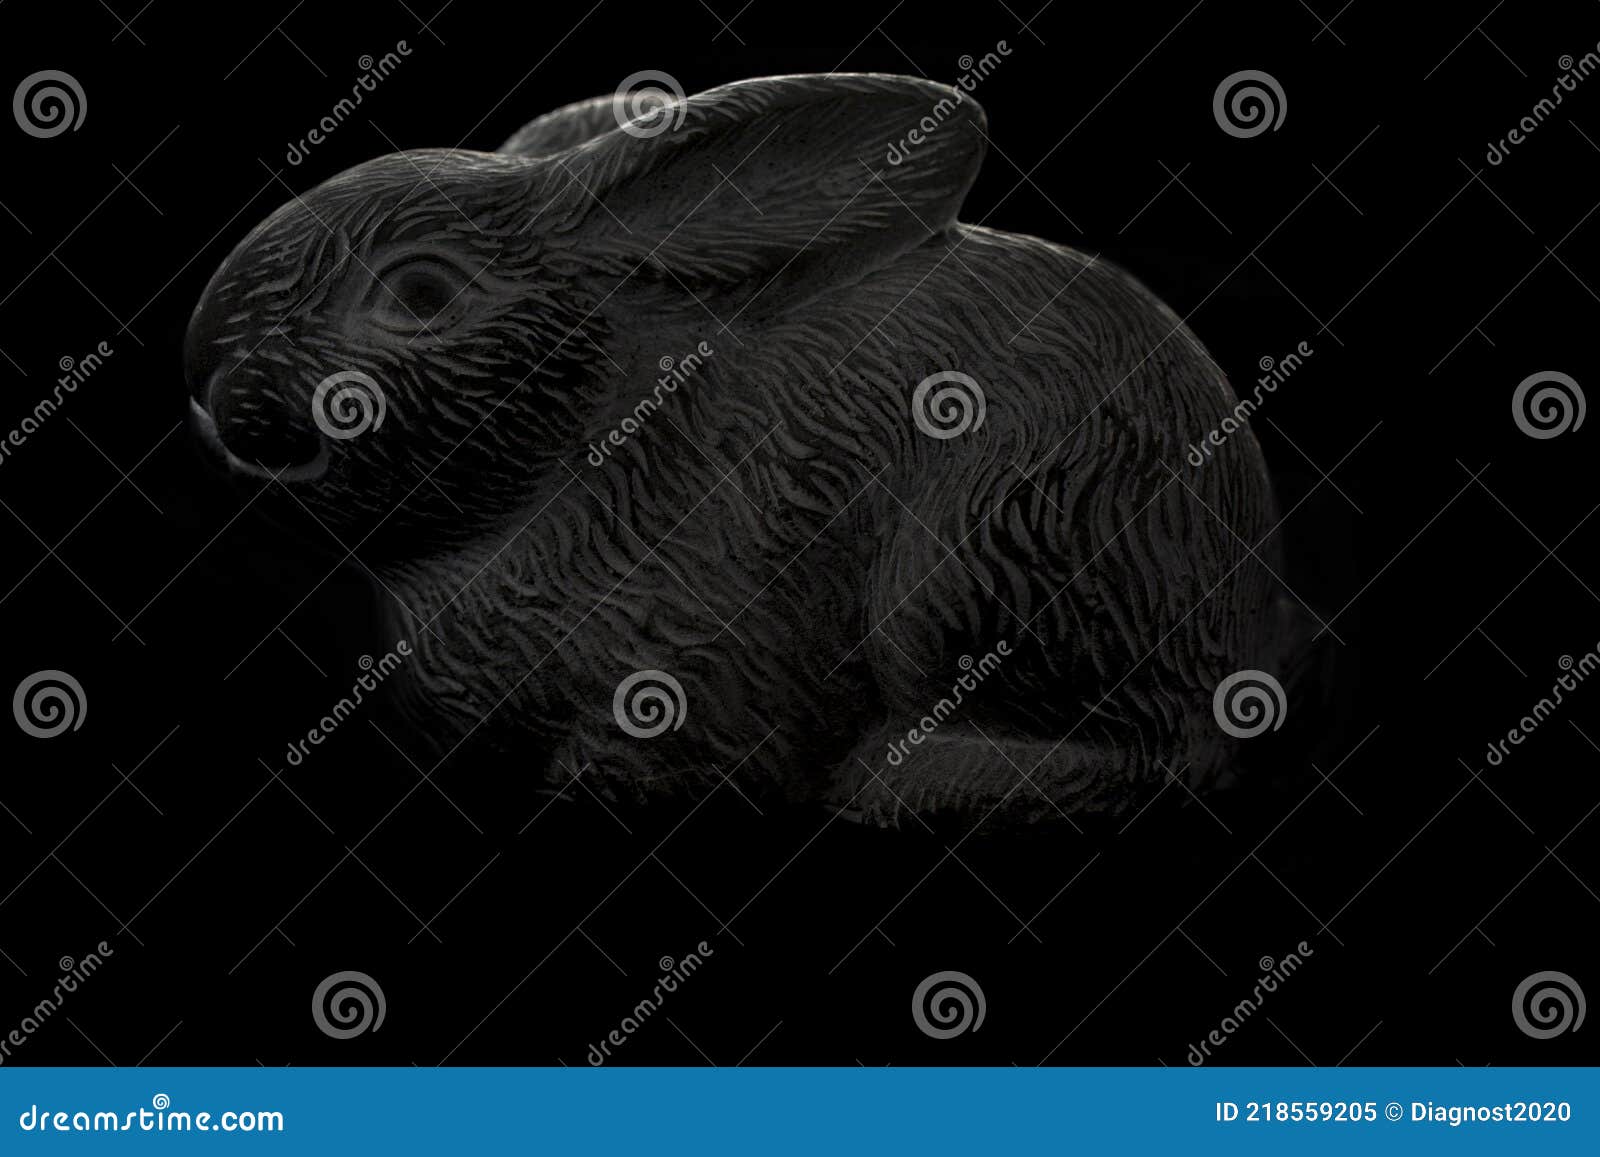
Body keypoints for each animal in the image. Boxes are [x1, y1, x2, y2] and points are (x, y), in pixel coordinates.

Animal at [184, 73, 1289, 827]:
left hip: (979, 563)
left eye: (419, 294)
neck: (588, 435)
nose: (216, 390)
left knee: (1146, 754)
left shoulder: (699, 654)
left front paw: (598, 782)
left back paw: (895, 783)